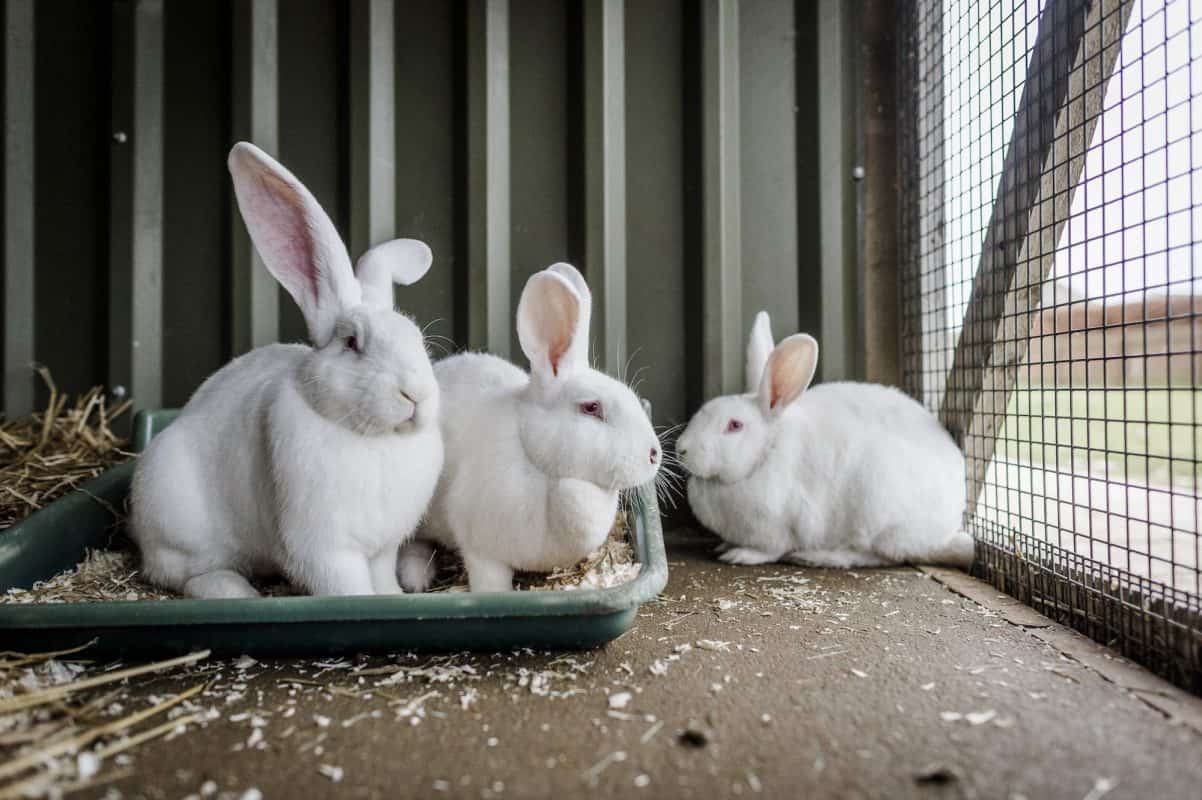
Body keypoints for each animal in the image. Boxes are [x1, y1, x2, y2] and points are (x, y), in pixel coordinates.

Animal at [129, 141, 444, 599]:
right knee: (187, 574)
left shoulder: (382, 548)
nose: (415, 393)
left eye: (418, 339)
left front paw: (394, 597)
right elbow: (349, 590)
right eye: (352, 343)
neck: (373, 439)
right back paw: (235, 592)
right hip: (178, 528)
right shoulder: (325, 550)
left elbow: (382, 578)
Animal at [396, 263, 662, 592]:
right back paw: (415, 577)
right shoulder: (482, 550)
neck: (542, 467)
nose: (655, 455)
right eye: (591, 408)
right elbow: (489, 581)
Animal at [675, 311, 973, 570]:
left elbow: (769, 550)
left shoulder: (777, 528)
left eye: (734, 425)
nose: (681, 449)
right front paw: (724, 546)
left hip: (878, 517)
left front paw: (740, 555)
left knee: (880, 556)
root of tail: (948, 522)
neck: (765, 454)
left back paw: (817, 557)